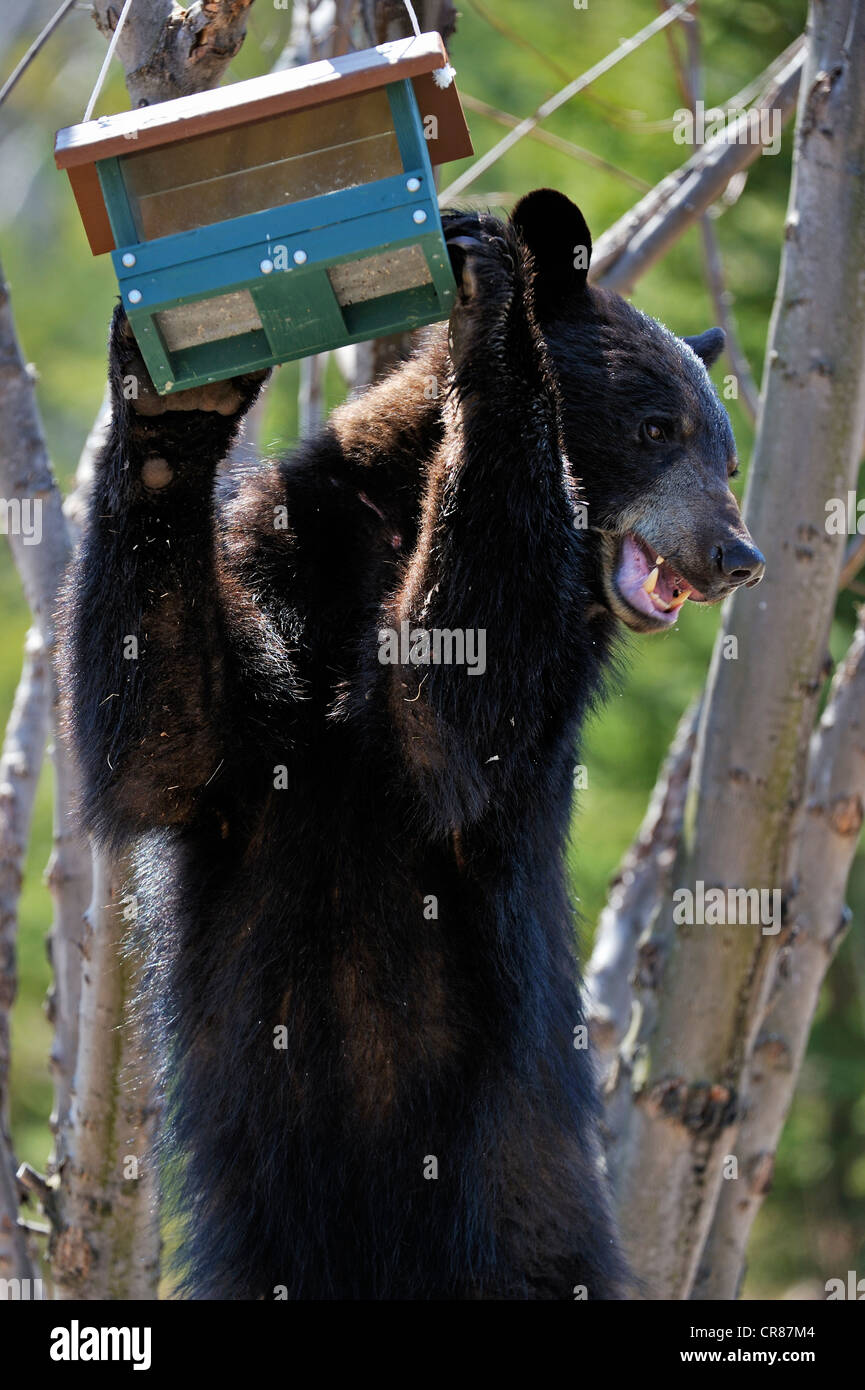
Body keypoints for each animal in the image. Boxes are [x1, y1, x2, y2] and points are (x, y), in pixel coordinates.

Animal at [58, 188, 765, 1300]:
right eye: (661, 427)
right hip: (261, 1237)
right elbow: (167, 743)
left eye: (727, 458)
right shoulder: (282, 556)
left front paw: (496, 322)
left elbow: (449, 724)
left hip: (519, 1206)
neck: (384, 531)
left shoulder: (546, 662)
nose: (737, 554)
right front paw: (177, 404)